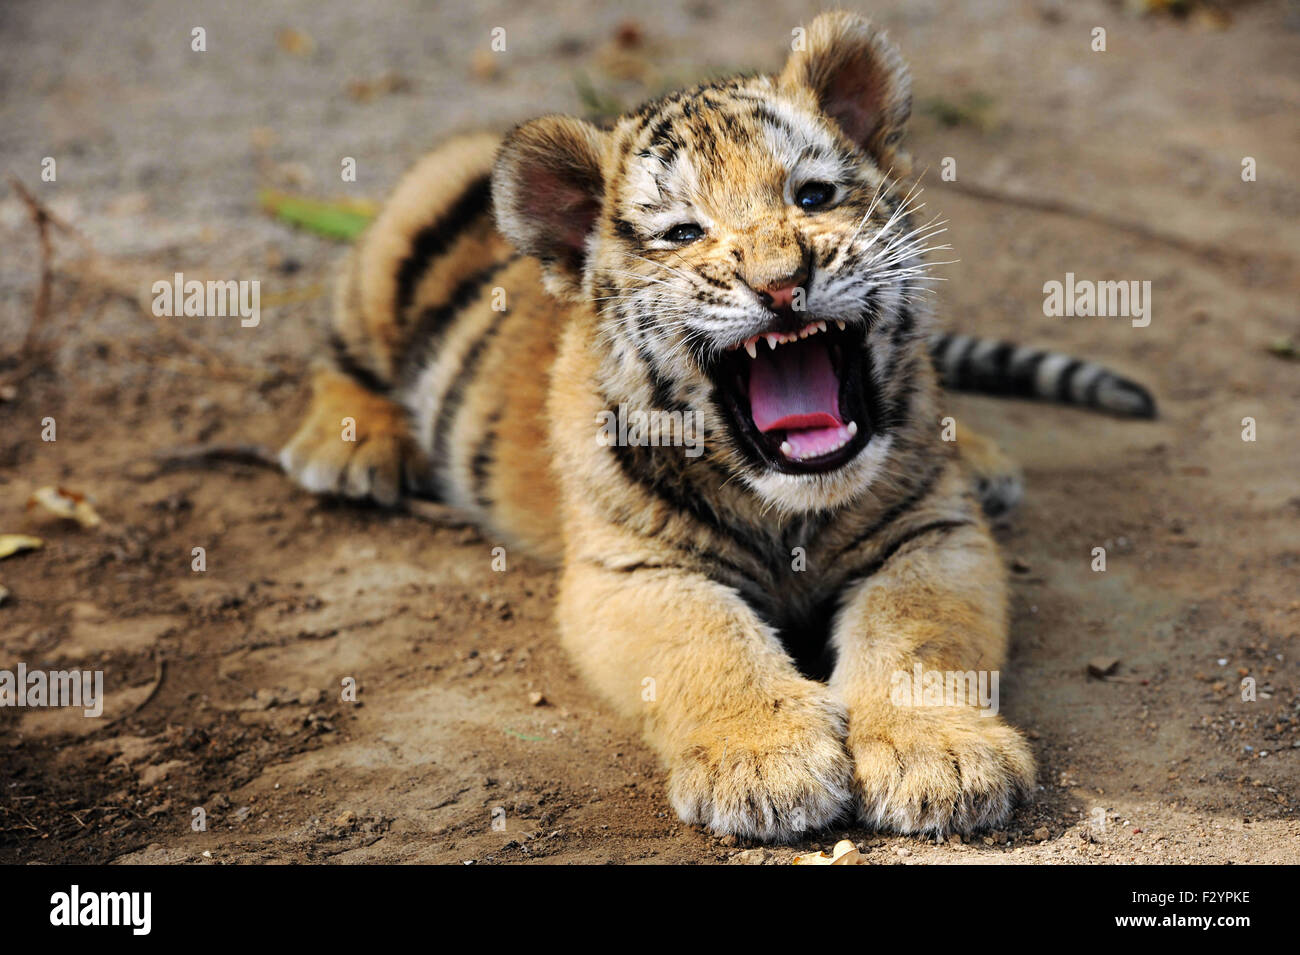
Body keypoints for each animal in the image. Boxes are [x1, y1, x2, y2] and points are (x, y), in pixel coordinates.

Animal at [279, 11, 1155, 841]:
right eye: (683, 232)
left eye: (813, 196)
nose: (782, 283)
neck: (789, 505)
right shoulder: (634, 569)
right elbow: (708, 646)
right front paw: (766, 766)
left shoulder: (933, 532)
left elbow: (918, 636)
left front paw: (941, 756)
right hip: (377, 263)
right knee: (333, 355)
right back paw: (352, 444)